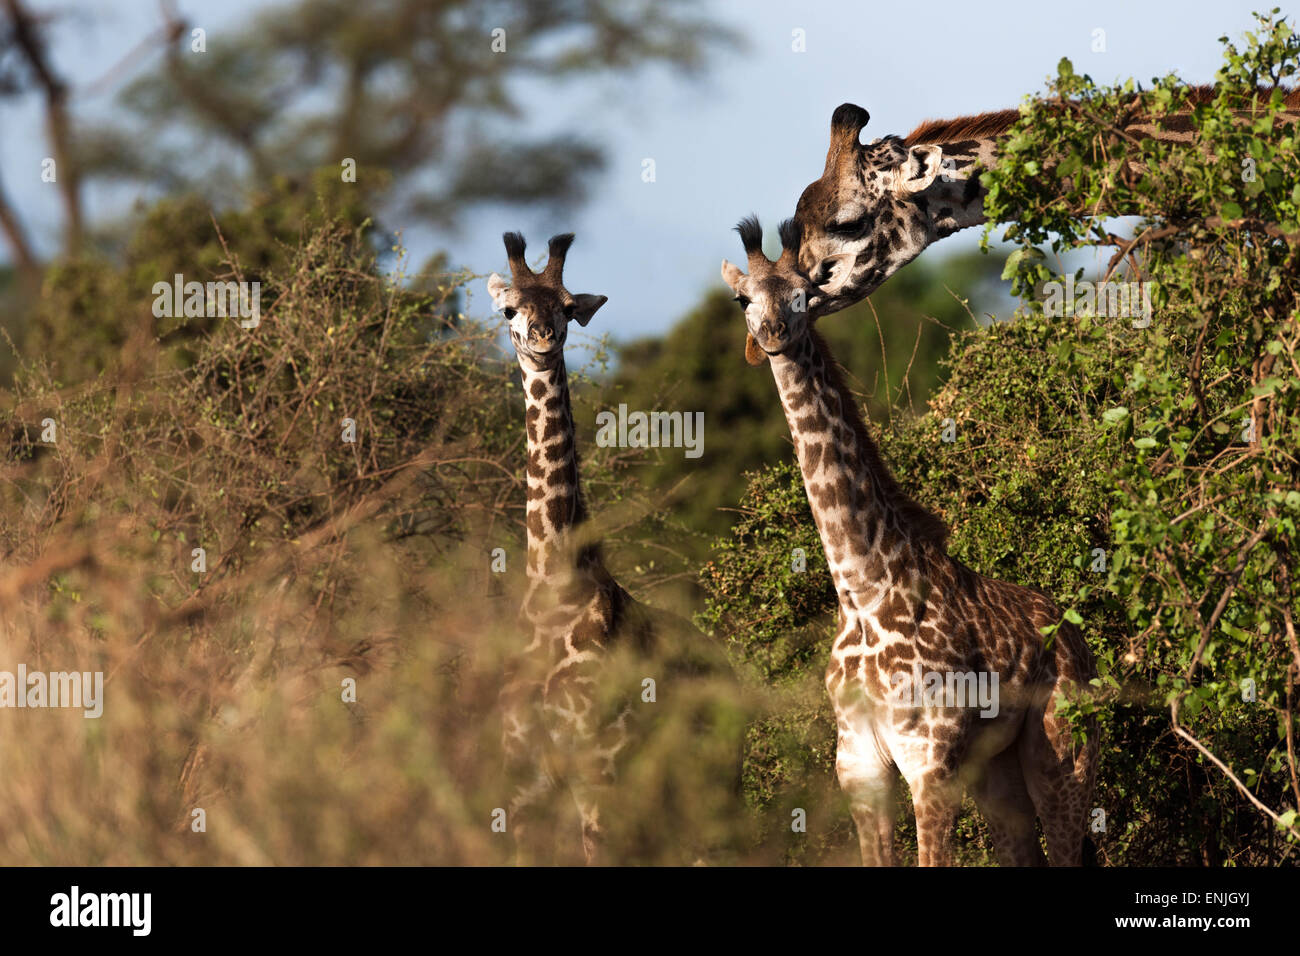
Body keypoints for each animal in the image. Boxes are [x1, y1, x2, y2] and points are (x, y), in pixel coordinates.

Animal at [489, 231, 741, 865]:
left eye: (567, 307)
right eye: (509, 310)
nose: (543, 339)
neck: (553, 588)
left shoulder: (599, 768)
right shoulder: (522, 778)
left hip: (708, 786)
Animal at [720, 216, 1098, 866]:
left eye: (803, 293)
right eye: (744, 299)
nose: (772, 334)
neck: (863, 589)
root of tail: (1079, 640)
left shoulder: (929, 760)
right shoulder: (858, 762)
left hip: (1062, 751)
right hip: (995, 768)